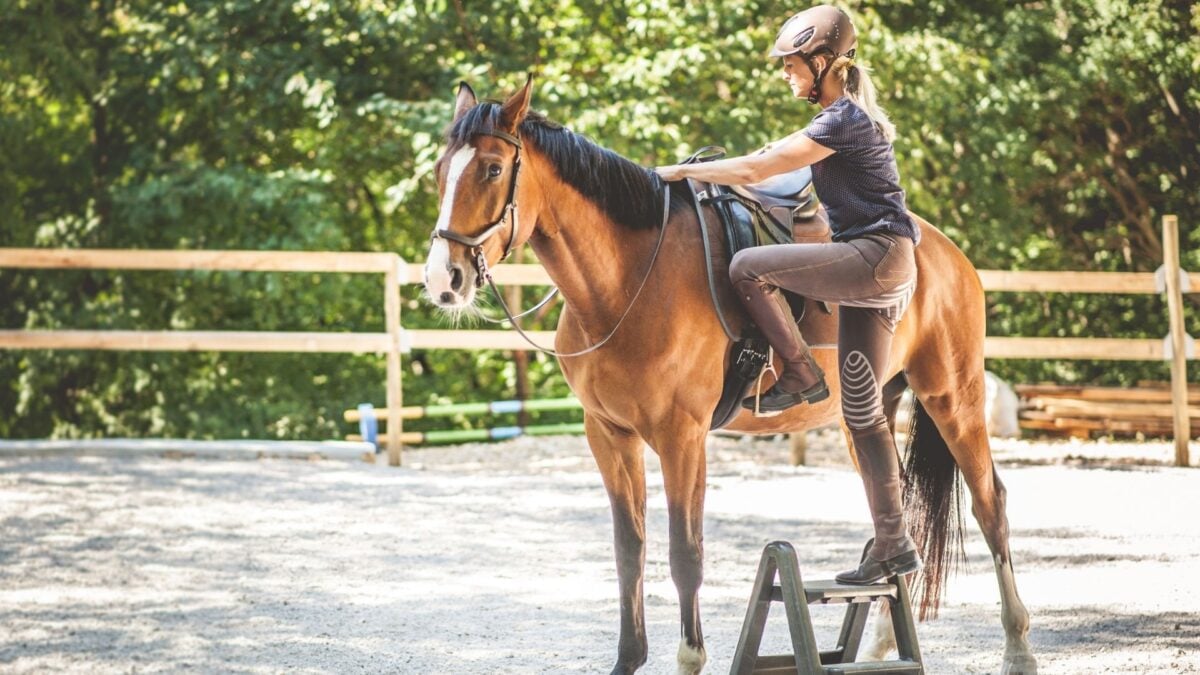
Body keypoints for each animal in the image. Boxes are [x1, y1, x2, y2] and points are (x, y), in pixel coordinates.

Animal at [421, 77, 1038, 675]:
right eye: (439, 172)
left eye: (492, 169)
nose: (443, 280)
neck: (626, 282)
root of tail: (943, 251)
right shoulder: (609, 435)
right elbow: (629, 551)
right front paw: (628, 658)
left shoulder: (682, 438)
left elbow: (685, 554)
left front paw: (689, 658)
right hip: (867, 407)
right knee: (893, 499)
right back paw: (886, 635)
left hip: (952, 396)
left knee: (991, 505)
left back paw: (1017, 647)